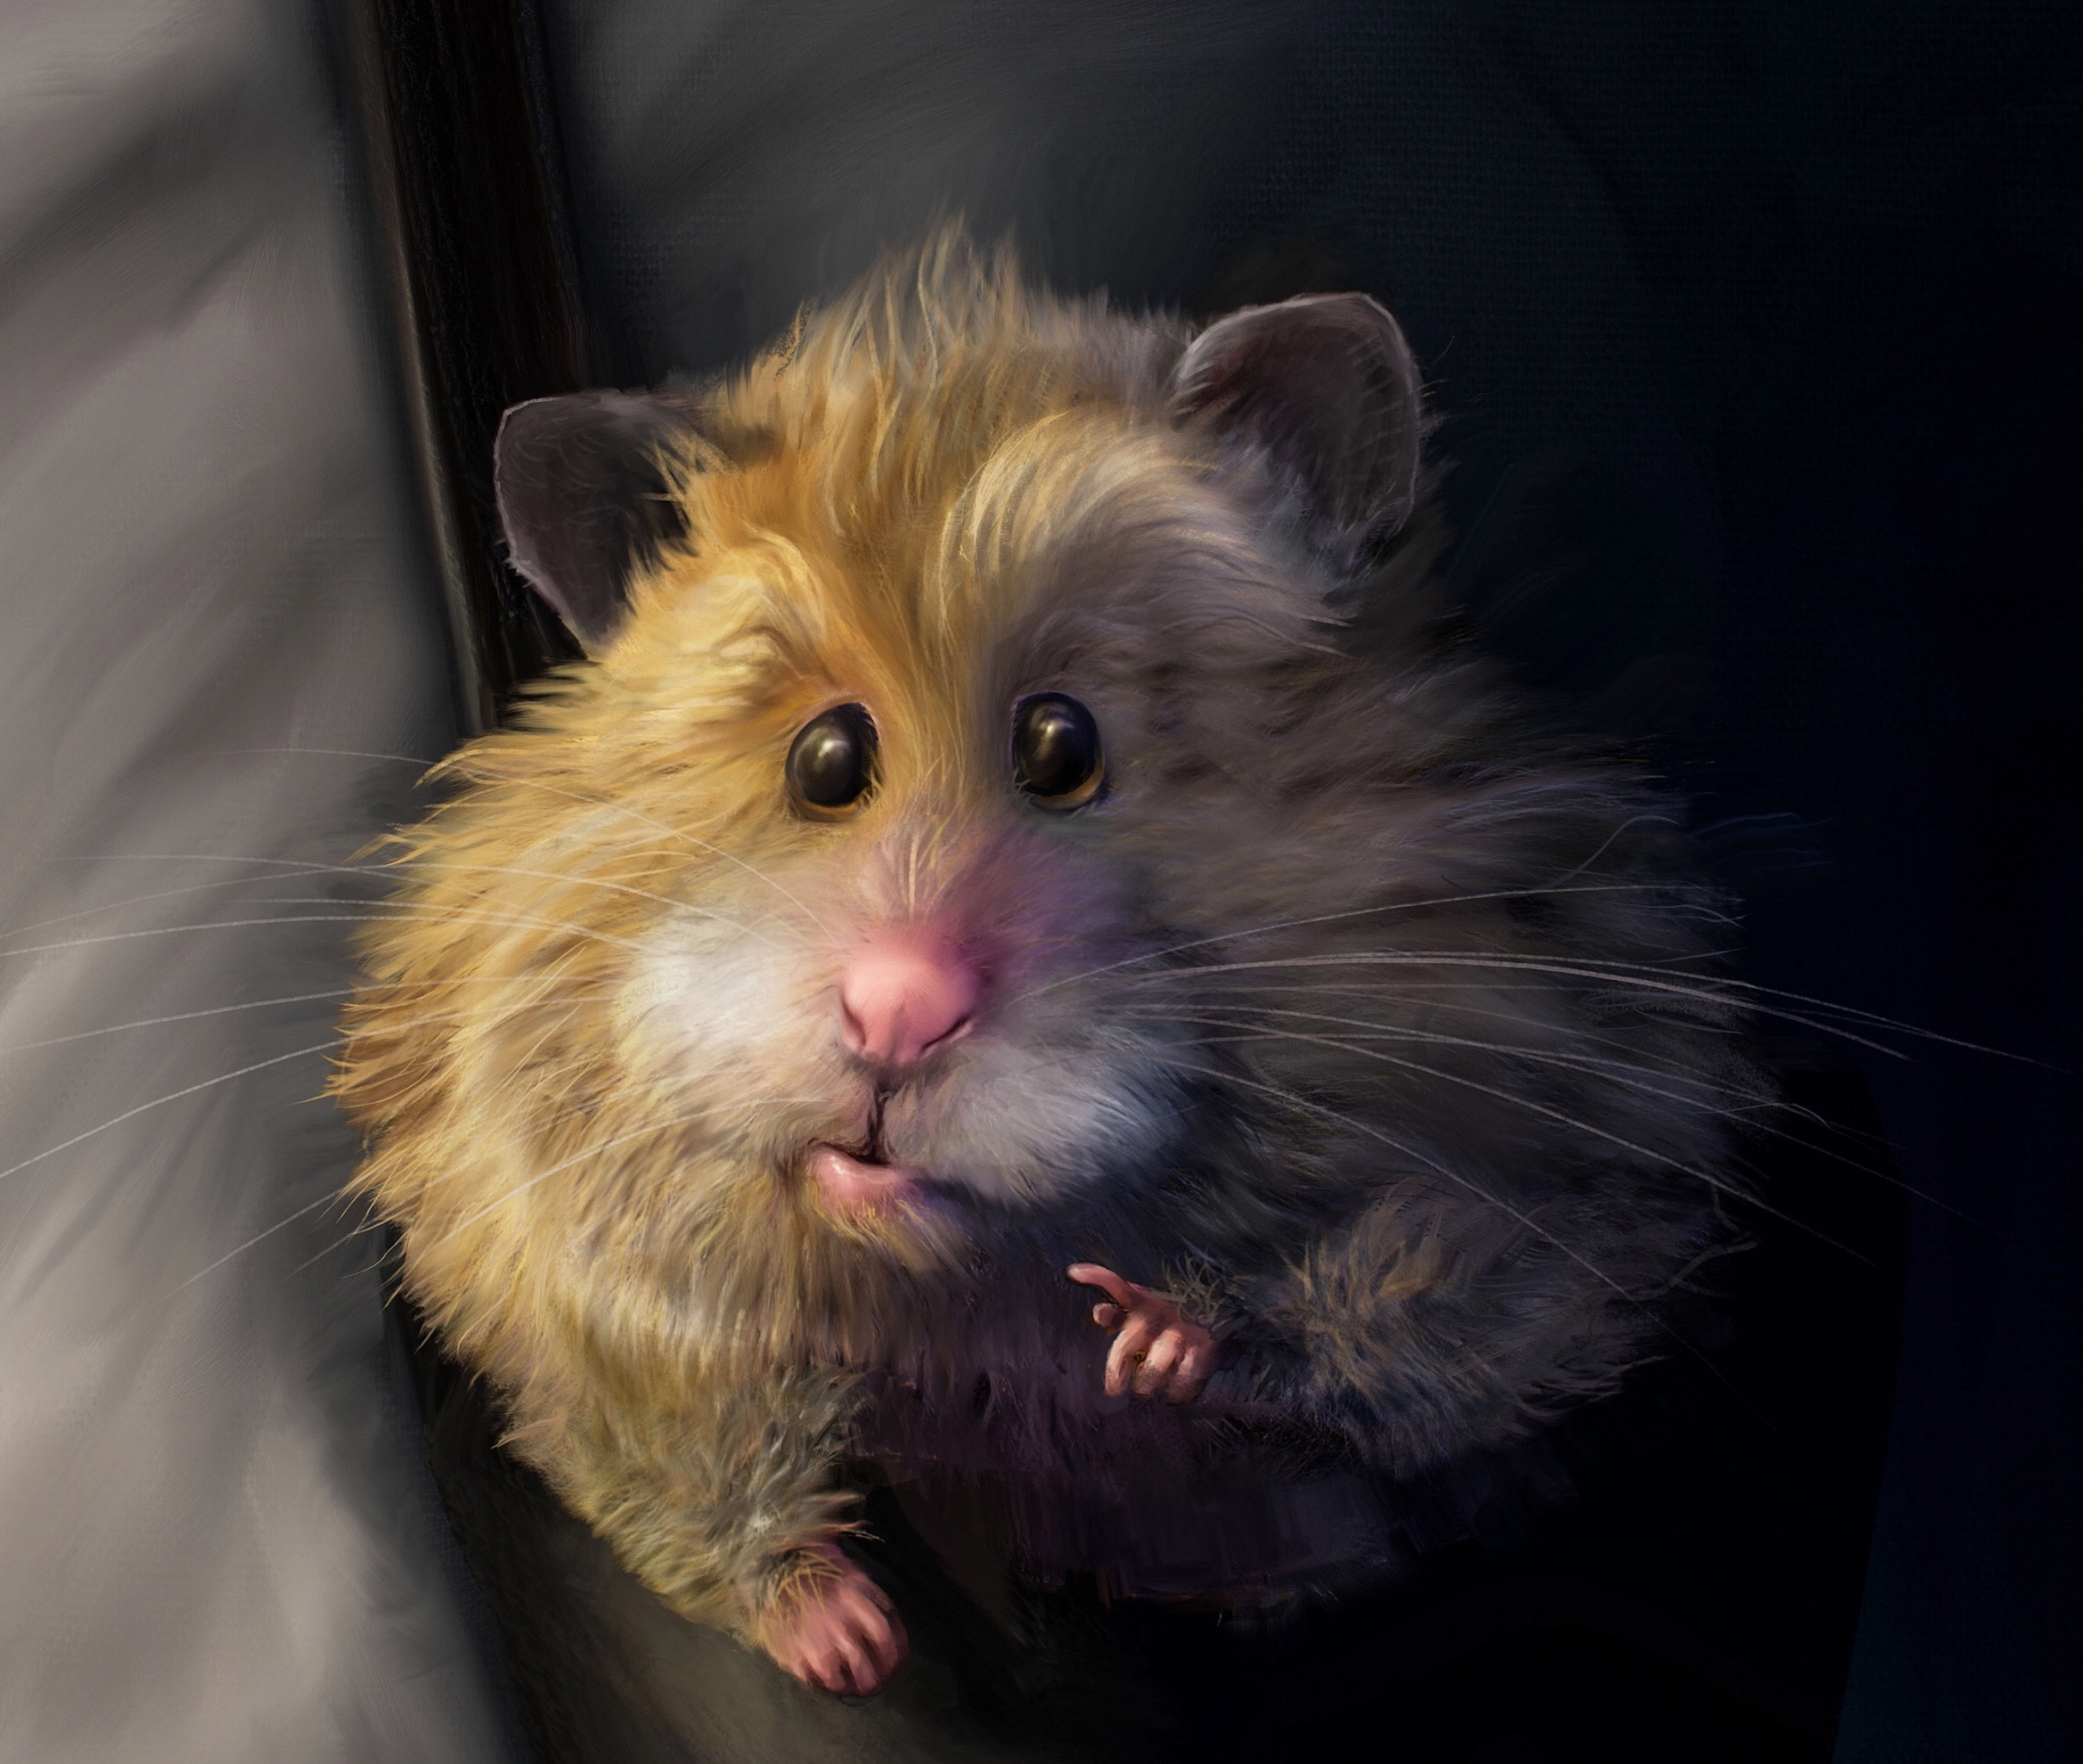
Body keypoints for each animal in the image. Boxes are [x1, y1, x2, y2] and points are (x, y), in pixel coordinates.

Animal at [332, 233, 1755, 1698]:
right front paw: (850, 1644)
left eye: (1063, 745)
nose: (896, 1021)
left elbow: (1455, 1304)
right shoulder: (562, 1253)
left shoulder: (1583, 1173)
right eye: (823, 759)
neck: (962, 1289)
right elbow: (669, 1437)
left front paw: (1152, 1340)